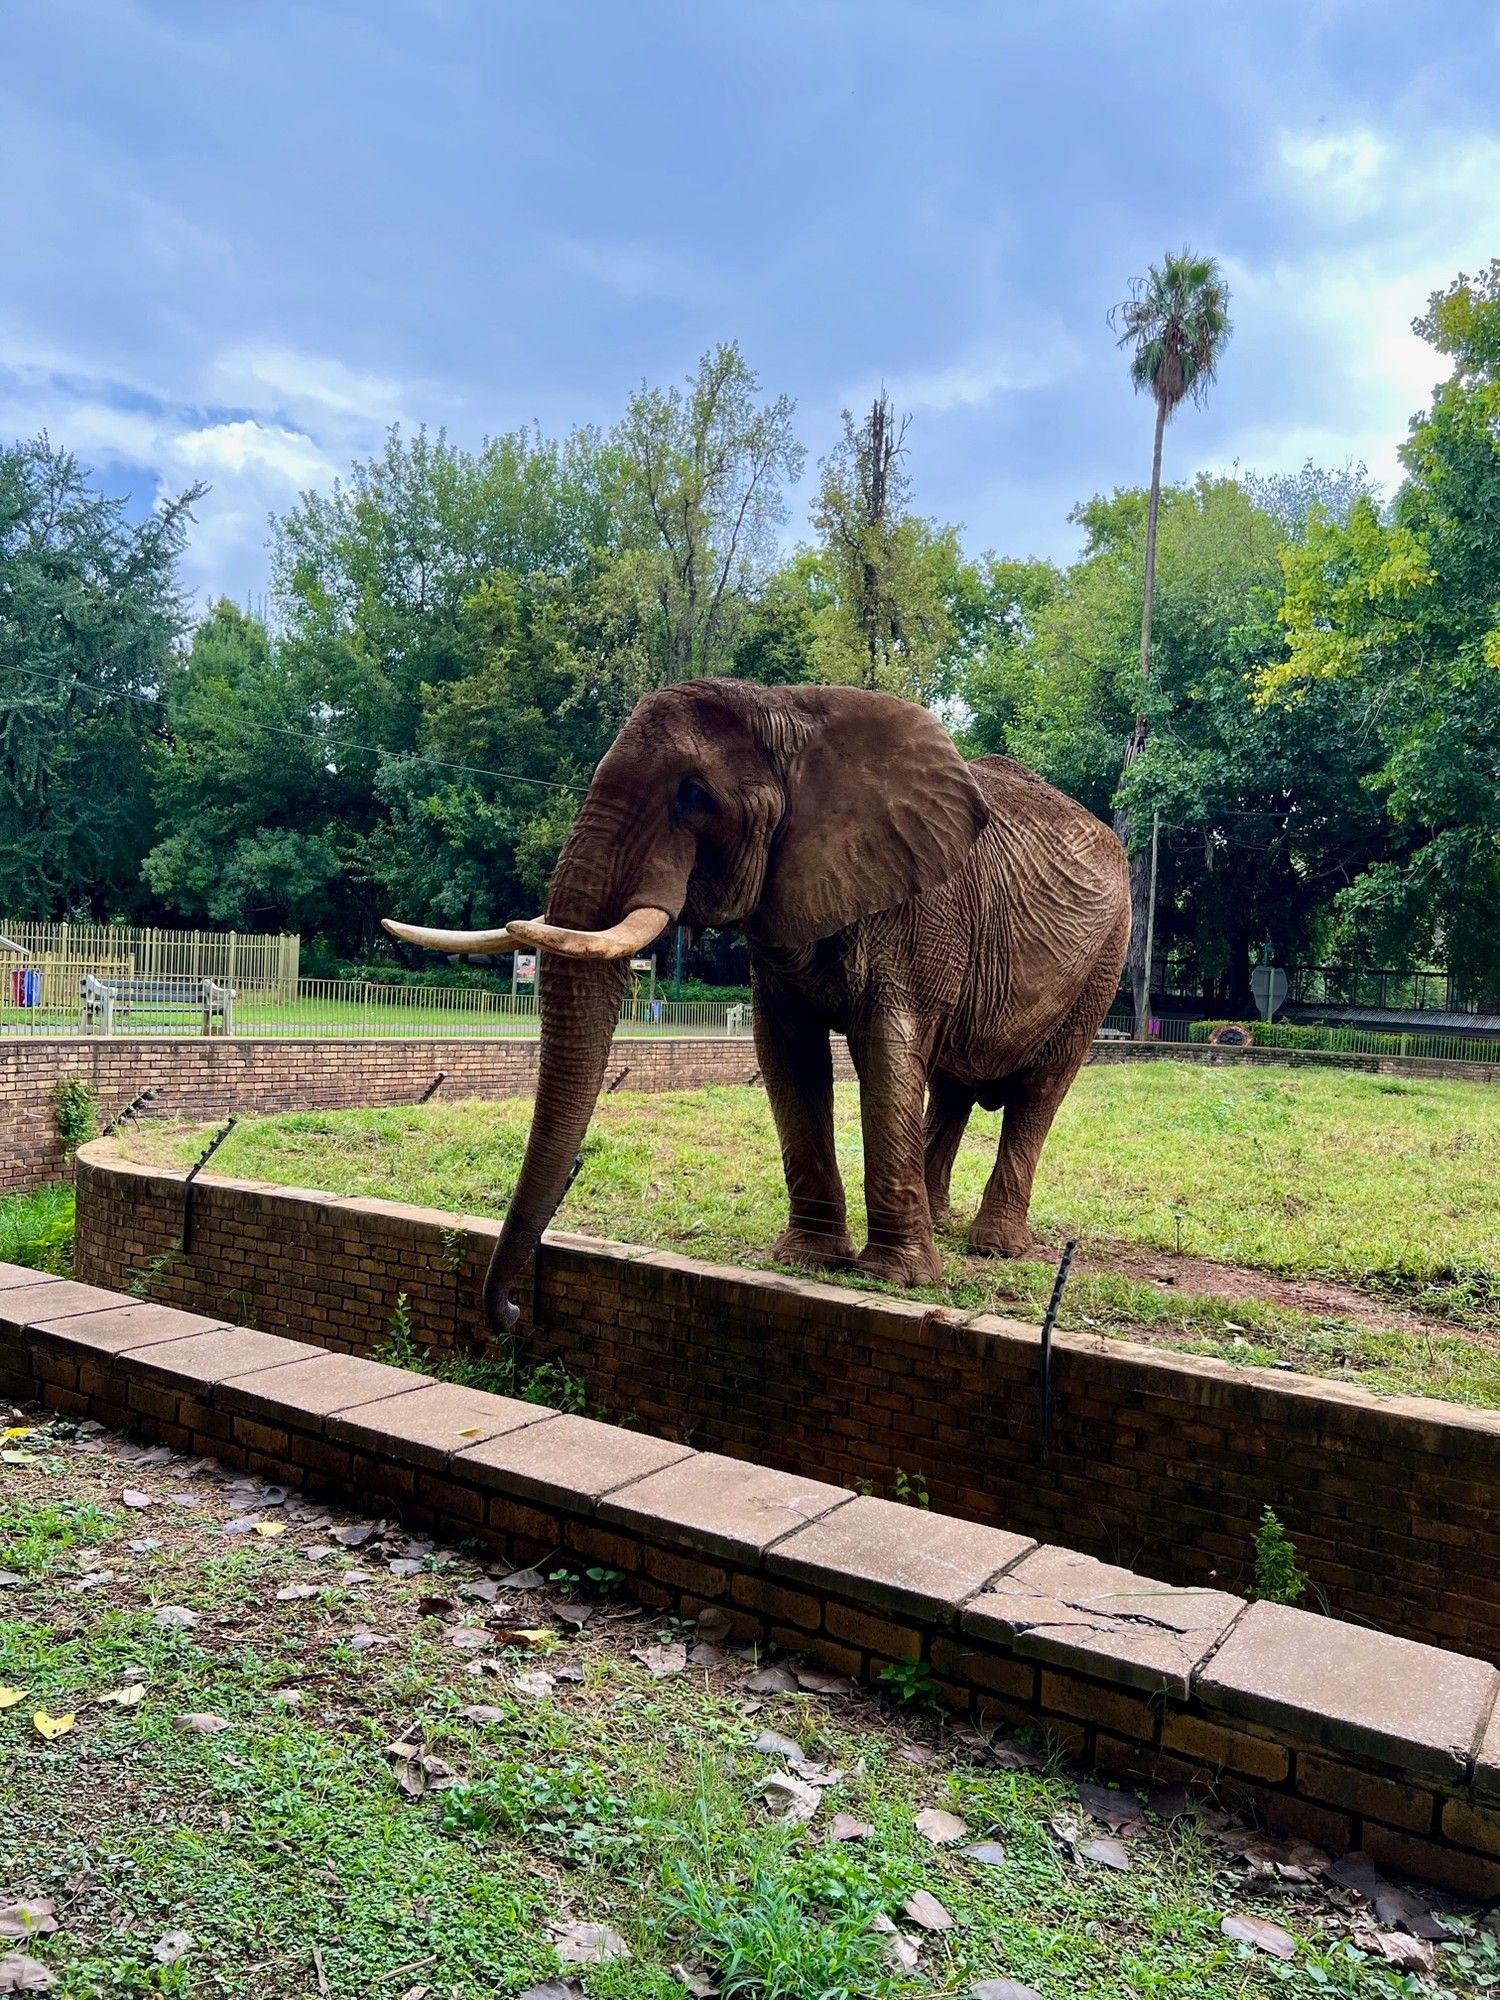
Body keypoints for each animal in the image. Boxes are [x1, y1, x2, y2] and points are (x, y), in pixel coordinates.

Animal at [384, 679, 1131, 1332]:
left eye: (694, 797)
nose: (511, 1313)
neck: (790, 712)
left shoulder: (921, 913)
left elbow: (887, 1054)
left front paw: (892, 1279)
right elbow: (787, 1054)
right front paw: (810, 1260)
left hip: (1106, 958)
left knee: (1039, 1091)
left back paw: (993, 1246)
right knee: (951, 1084)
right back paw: (943, 1223)